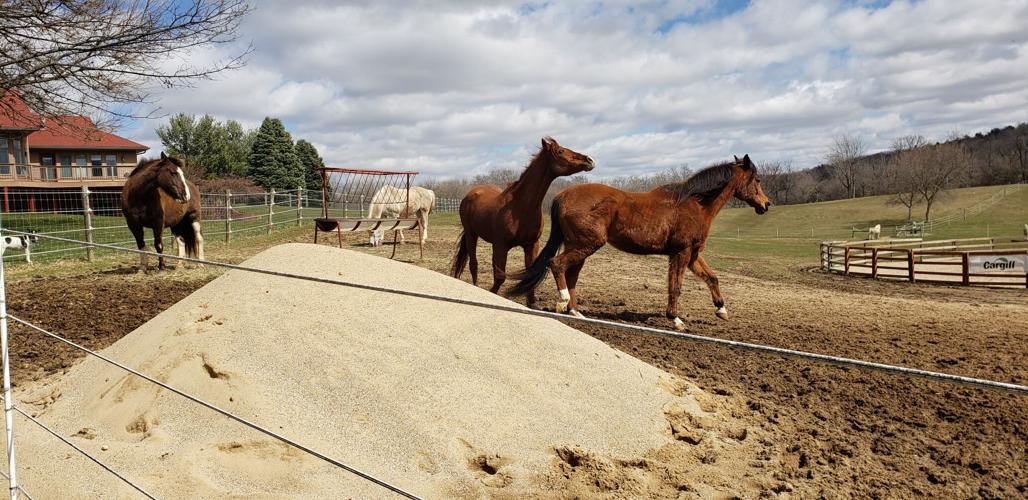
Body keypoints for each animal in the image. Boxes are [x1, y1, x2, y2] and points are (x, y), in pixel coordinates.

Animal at [450, 137, 594, 305]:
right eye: (560, 151)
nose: (589, 160)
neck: (519, 206)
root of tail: (471, 194)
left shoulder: (531, 245)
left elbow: (528, 276)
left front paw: (531, 303)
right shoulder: (501, 246)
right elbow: (500, 277)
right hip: (471, 234)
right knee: (474, 265)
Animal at [510, 154, 770, 331]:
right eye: (757, 179)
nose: (765, 205)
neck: (695, 204)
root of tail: (562, 196)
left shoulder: (693, 255)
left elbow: (712, 277)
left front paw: (721, 309)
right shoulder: (681, 253)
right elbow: (675, 287)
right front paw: (676, 319)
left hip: (580, 247)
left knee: (570, 273)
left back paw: (575, 312)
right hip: (586, 245)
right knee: (557, 264)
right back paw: (563, 303)